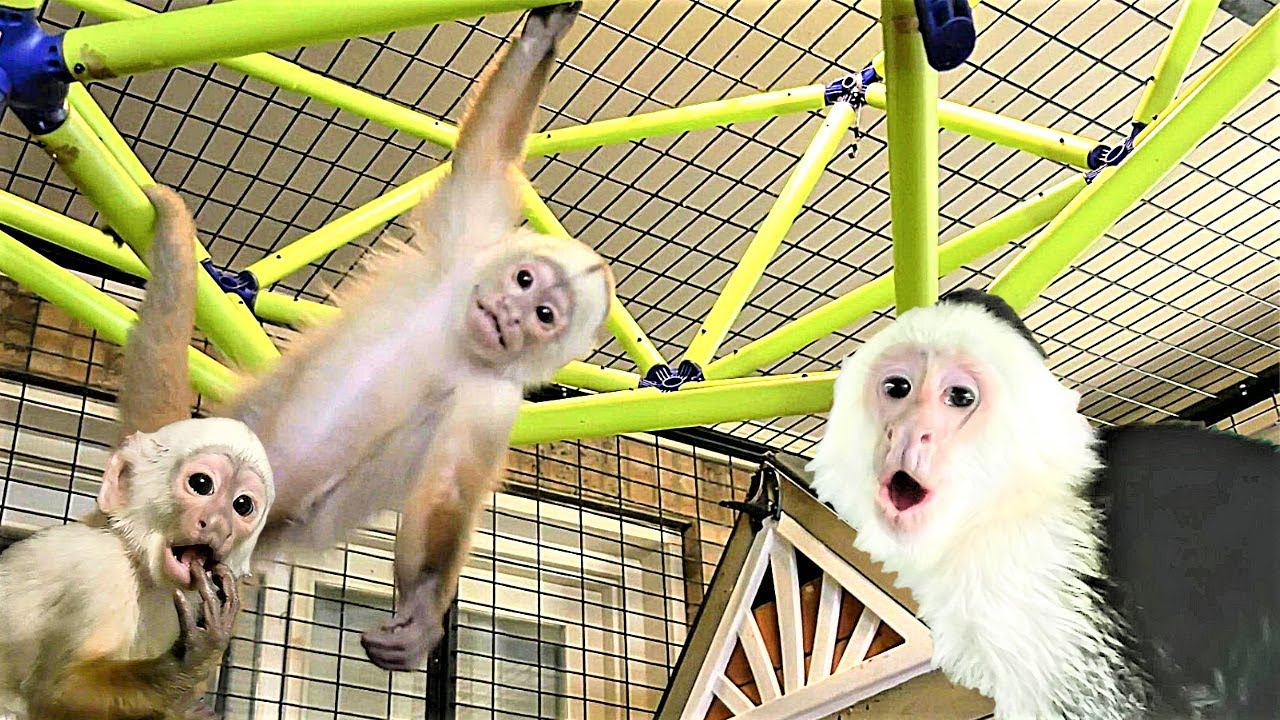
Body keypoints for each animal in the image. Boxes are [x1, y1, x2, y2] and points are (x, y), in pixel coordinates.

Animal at [0, 186, 276, 720]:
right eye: (202, 485)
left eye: (242, 506)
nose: (218, 524)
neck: (142, 569)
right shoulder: (99, 574)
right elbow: (58, 689)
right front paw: (192, 661)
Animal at [206, 2, 612, 672]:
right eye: (524, 279)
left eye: (544, 315)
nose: (510, 314)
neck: (457, 337)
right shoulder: (468, 243)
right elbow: (485, 157)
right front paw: (545, 35)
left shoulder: (494, 398)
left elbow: (446, 491)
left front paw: (423, 606)